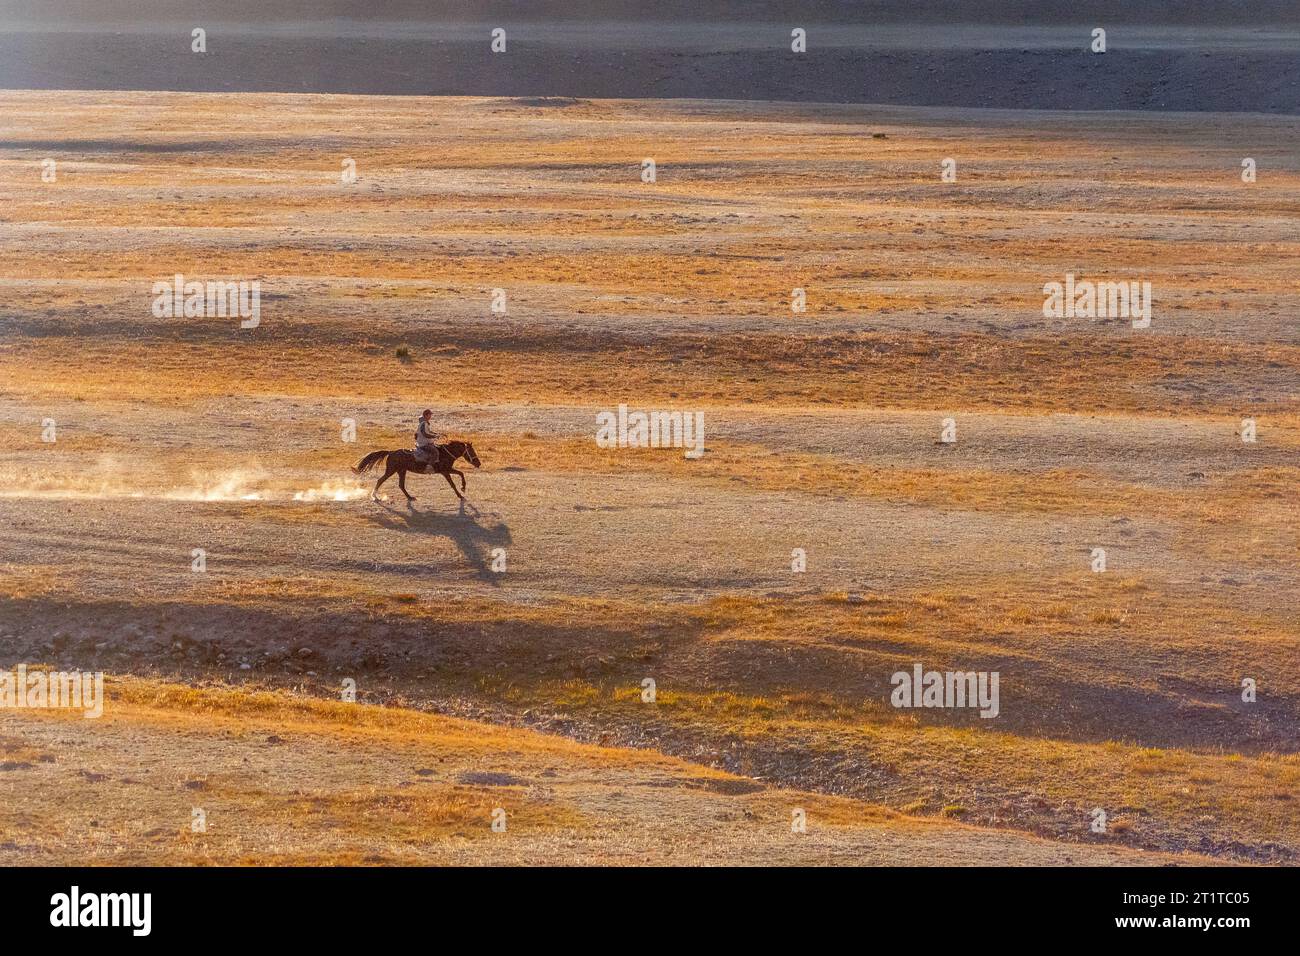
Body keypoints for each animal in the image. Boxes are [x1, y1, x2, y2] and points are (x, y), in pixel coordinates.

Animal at [351, 440, 481, 503]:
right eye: (471, 451)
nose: (478, 463)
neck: (445, 453)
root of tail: (391, 452)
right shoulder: (445, 471)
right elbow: (454, 482)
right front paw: (461, 494)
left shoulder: (447, 470)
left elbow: (460, 474)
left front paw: (463, 489)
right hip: (391, 470)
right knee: (380, 480)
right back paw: (375, 496)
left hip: (401, 471)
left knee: (401, 485)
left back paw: (410, 497)